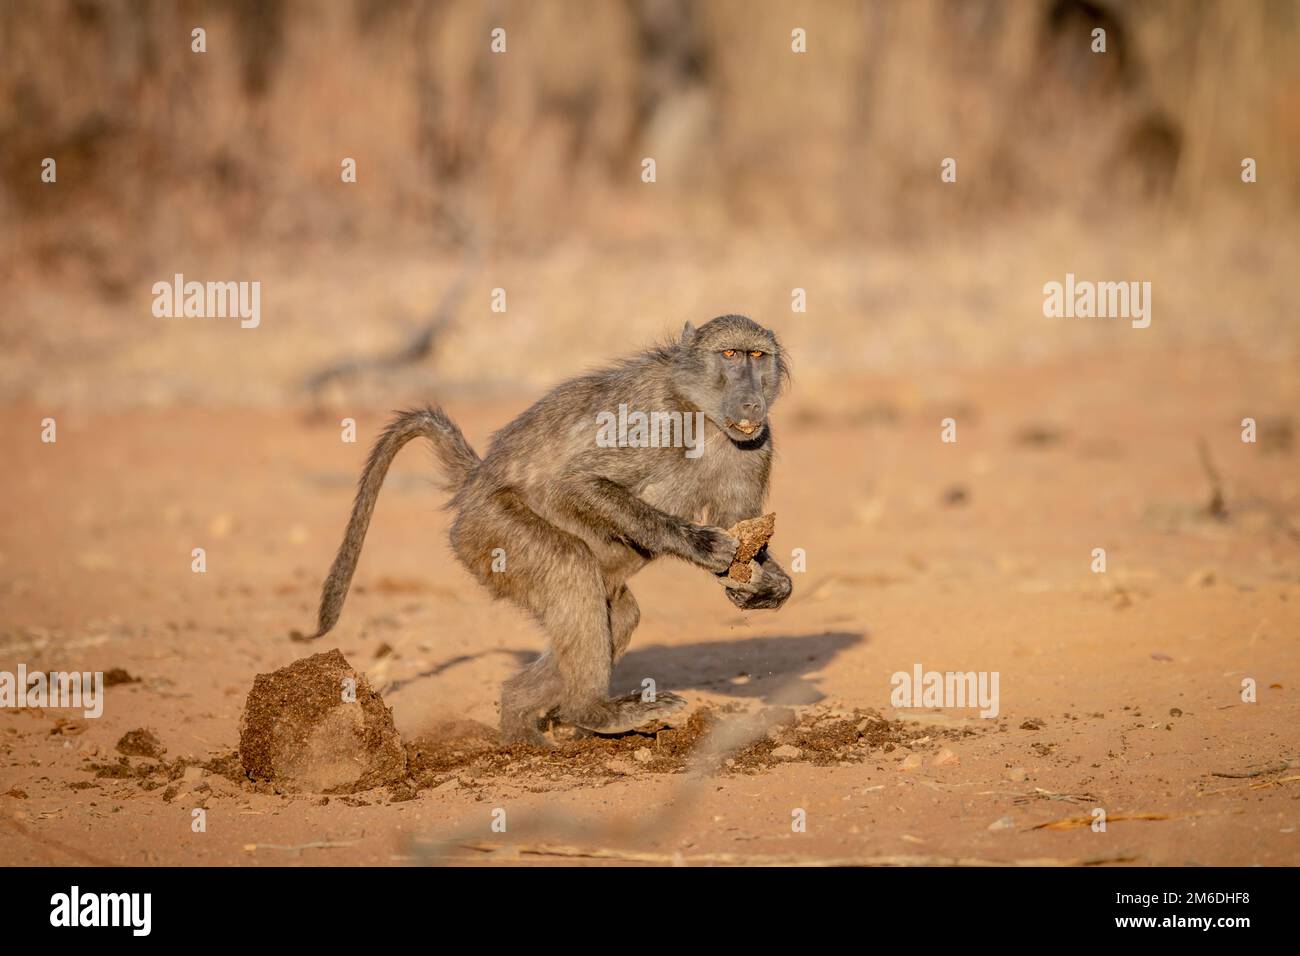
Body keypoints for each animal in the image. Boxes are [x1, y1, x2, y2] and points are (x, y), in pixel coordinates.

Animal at [307, 313, 793, 747]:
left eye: (757, 356)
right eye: (729, 355)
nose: (751, 402)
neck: (701, 414)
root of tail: (475, 480)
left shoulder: (758, 441)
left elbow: (740, 525)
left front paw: (766, 586)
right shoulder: (652, 418)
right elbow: (575, 482)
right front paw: (702, 545)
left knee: (619, 613)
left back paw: (524, 719)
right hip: (488, 533)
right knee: (570, 566)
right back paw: (592, 712)